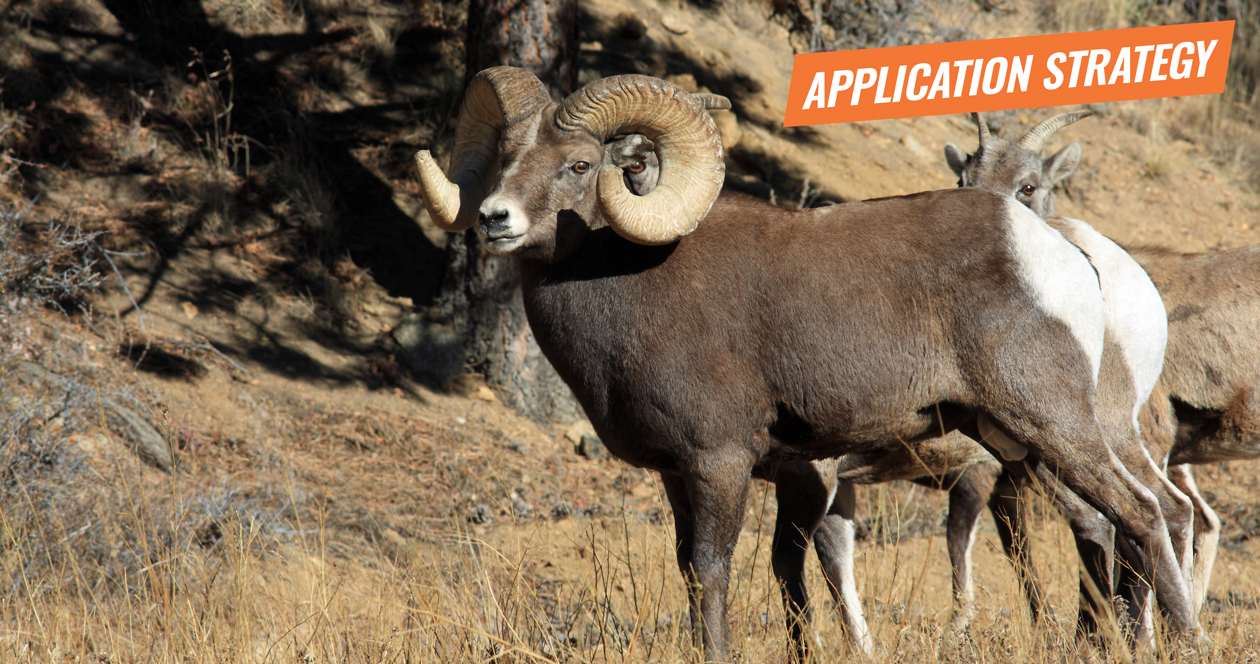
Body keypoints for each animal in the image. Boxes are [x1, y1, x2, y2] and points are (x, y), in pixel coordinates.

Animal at [412, 67, 1200, 661]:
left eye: (578, 165)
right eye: (506, 158)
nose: (496, 220)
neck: (628, 280)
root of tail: (1063, 254)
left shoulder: (720, 463)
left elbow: (716, 571)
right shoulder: (693, 475)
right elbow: (722, 572)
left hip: (1054, 427)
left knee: (1142, 513)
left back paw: (1184, 641)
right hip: (1030, 440)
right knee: (1131, 520)